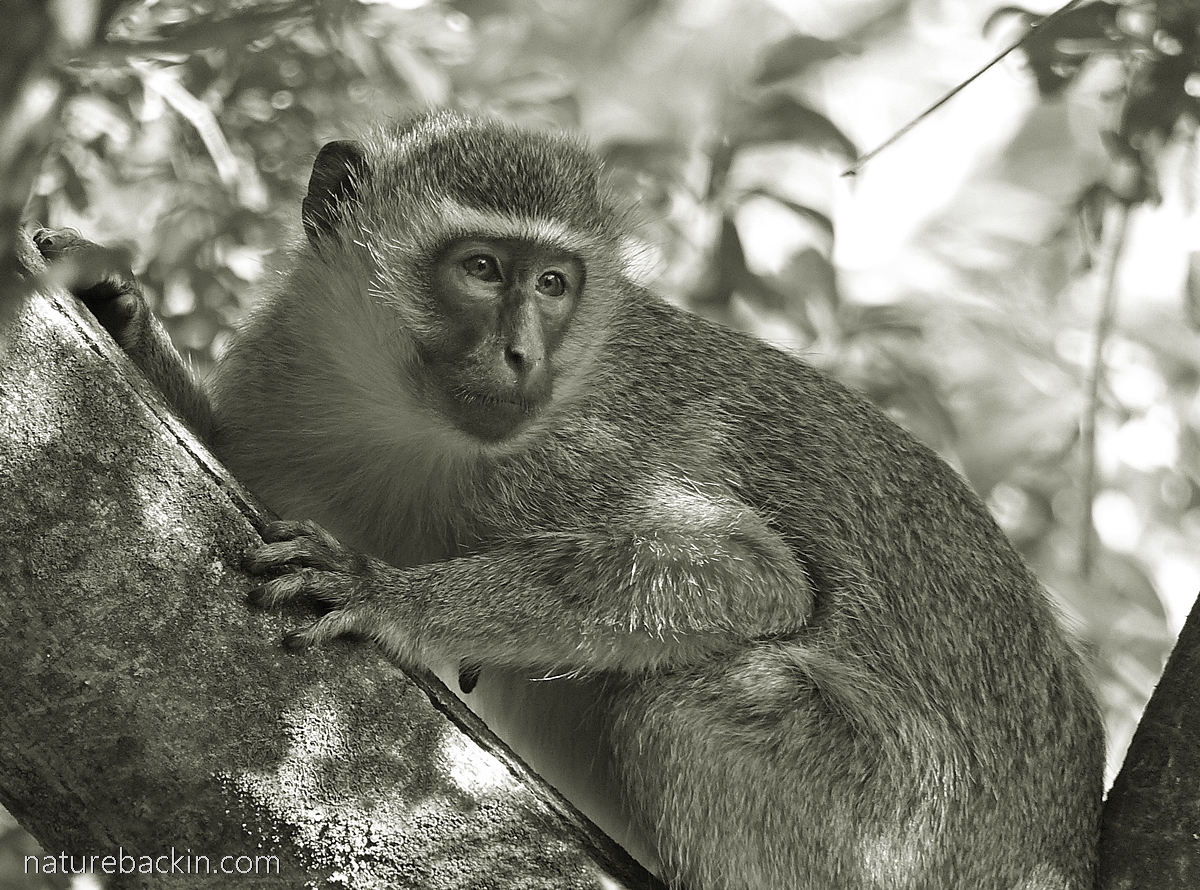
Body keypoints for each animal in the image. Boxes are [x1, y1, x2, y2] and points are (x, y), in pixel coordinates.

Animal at [35, 109, 1105, 890]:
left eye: (553, 284)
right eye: (481, 268)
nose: (520, 354)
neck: (404, 417)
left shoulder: (581, 453)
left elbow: (754, 577)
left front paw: (392, 600)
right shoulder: (279, 378)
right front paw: (118, 314)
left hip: (898, 822)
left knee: (692, 701)